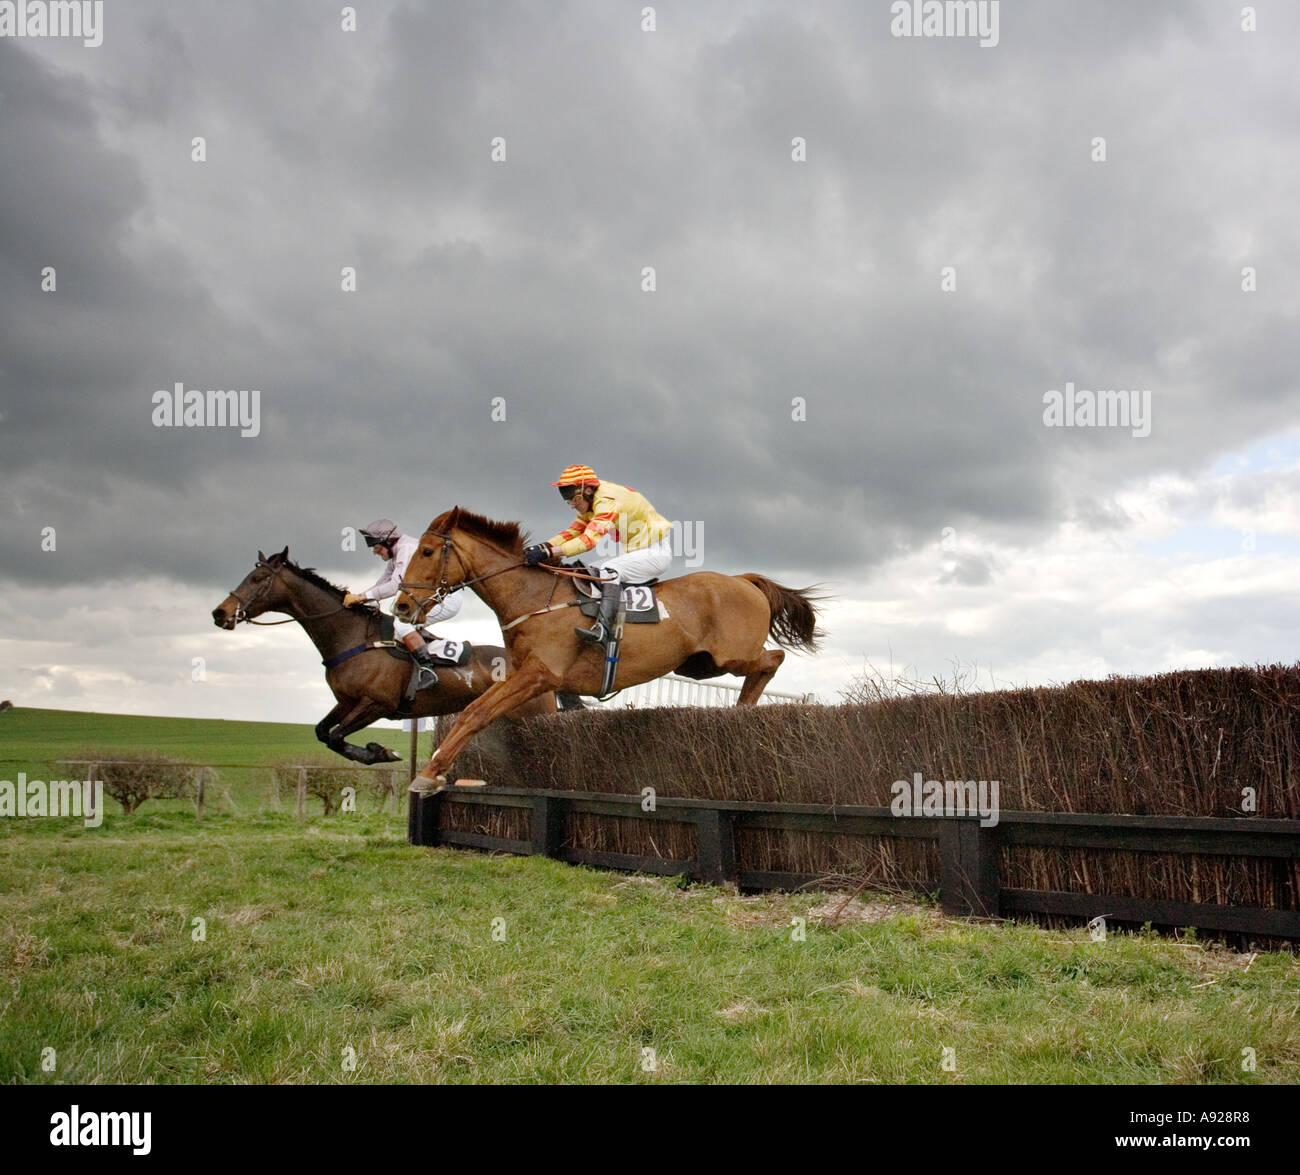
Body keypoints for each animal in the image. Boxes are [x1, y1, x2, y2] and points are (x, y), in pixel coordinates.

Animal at [212, 547, 575, 765]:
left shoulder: (377, 703)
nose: (220, 613)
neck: (351, 637)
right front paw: (377, 751)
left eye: (258, 578)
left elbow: (337, 736)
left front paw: (382, 751)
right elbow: (323, 732)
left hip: (534, 714)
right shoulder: (347, 701)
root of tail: (545, 661)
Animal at [393, 508, 824, 788]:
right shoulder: (520, 675)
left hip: (729, 655)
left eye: (426, 552)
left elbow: (476, 713)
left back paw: (743, 710)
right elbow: (477, 711)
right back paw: (740, 712)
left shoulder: (540, 674)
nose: (402, 606)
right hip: (699, 665)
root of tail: (744, 580)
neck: (532, 597)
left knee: (772, 659)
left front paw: (428, 775)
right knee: (763, 664)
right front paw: (436, 770)